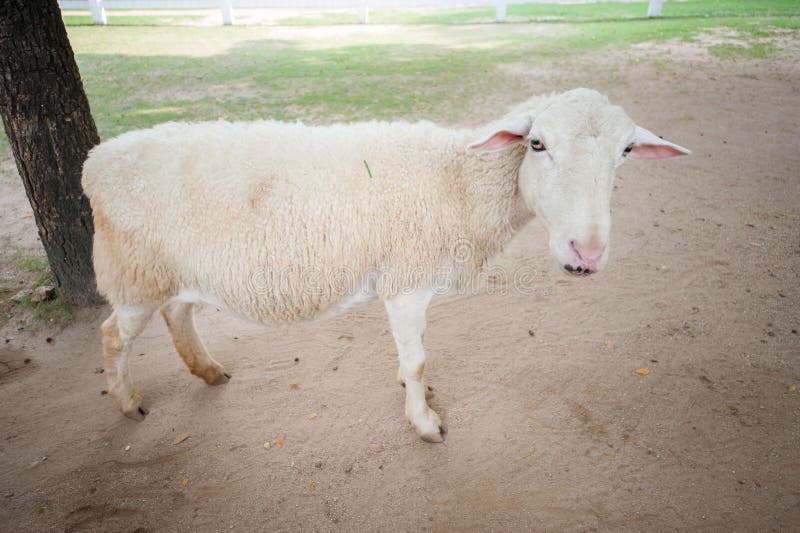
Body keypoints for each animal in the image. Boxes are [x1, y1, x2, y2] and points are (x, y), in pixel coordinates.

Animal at [83, 88, 688, 442]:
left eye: (625, 153)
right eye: (536, 144)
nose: (587, 253)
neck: (458, 180)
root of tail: (96, 161)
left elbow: (411, 357)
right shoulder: (405, 281)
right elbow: (417, 361)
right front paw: (424, 422)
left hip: (173, 270)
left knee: (178, 314)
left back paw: (208, 371)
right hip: (133, 273)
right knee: (113, 335)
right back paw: (128, 402)